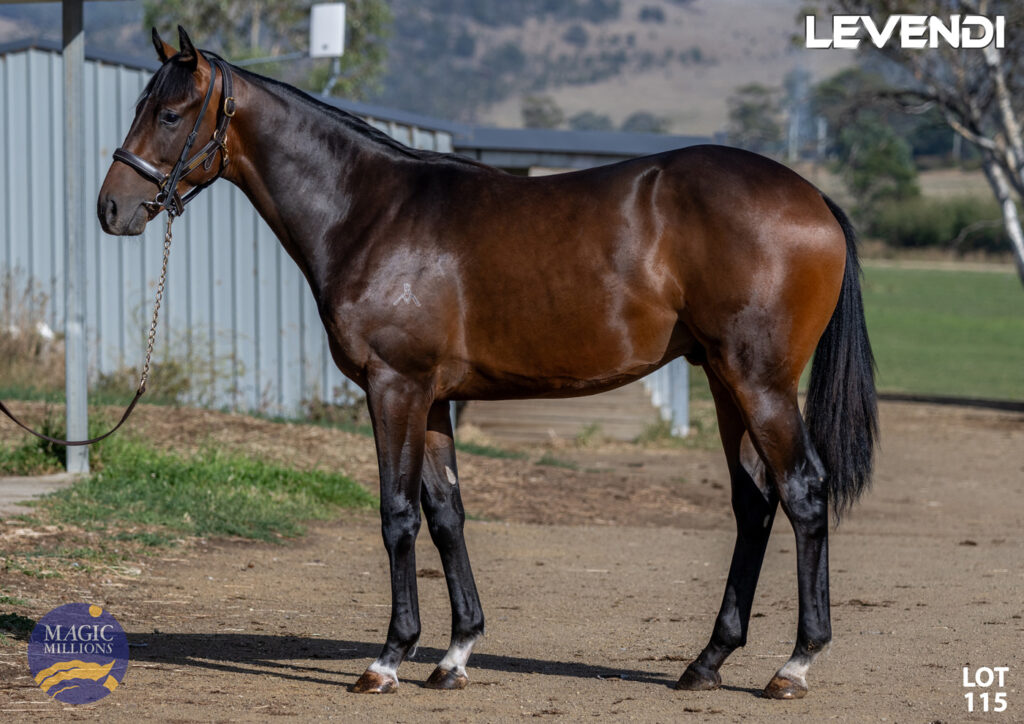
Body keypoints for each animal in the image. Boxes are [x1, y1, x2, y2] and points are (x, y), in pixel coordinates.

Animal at [98, 27, 877, 699]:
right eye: (138, 107)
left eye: (170, 114)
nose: (112, 209)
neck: (371, 211)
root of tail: (813, 198)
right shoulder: (434, 397)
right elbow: (446, 513)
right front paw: (455, 653)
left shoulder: (395, 387)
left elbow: (397, 514)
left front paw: (388, 659)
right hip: (723, 381)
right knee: (754, 502)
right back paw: (707, 661)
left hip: (760, 381)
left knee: (803, 492)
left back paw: (794, 665)